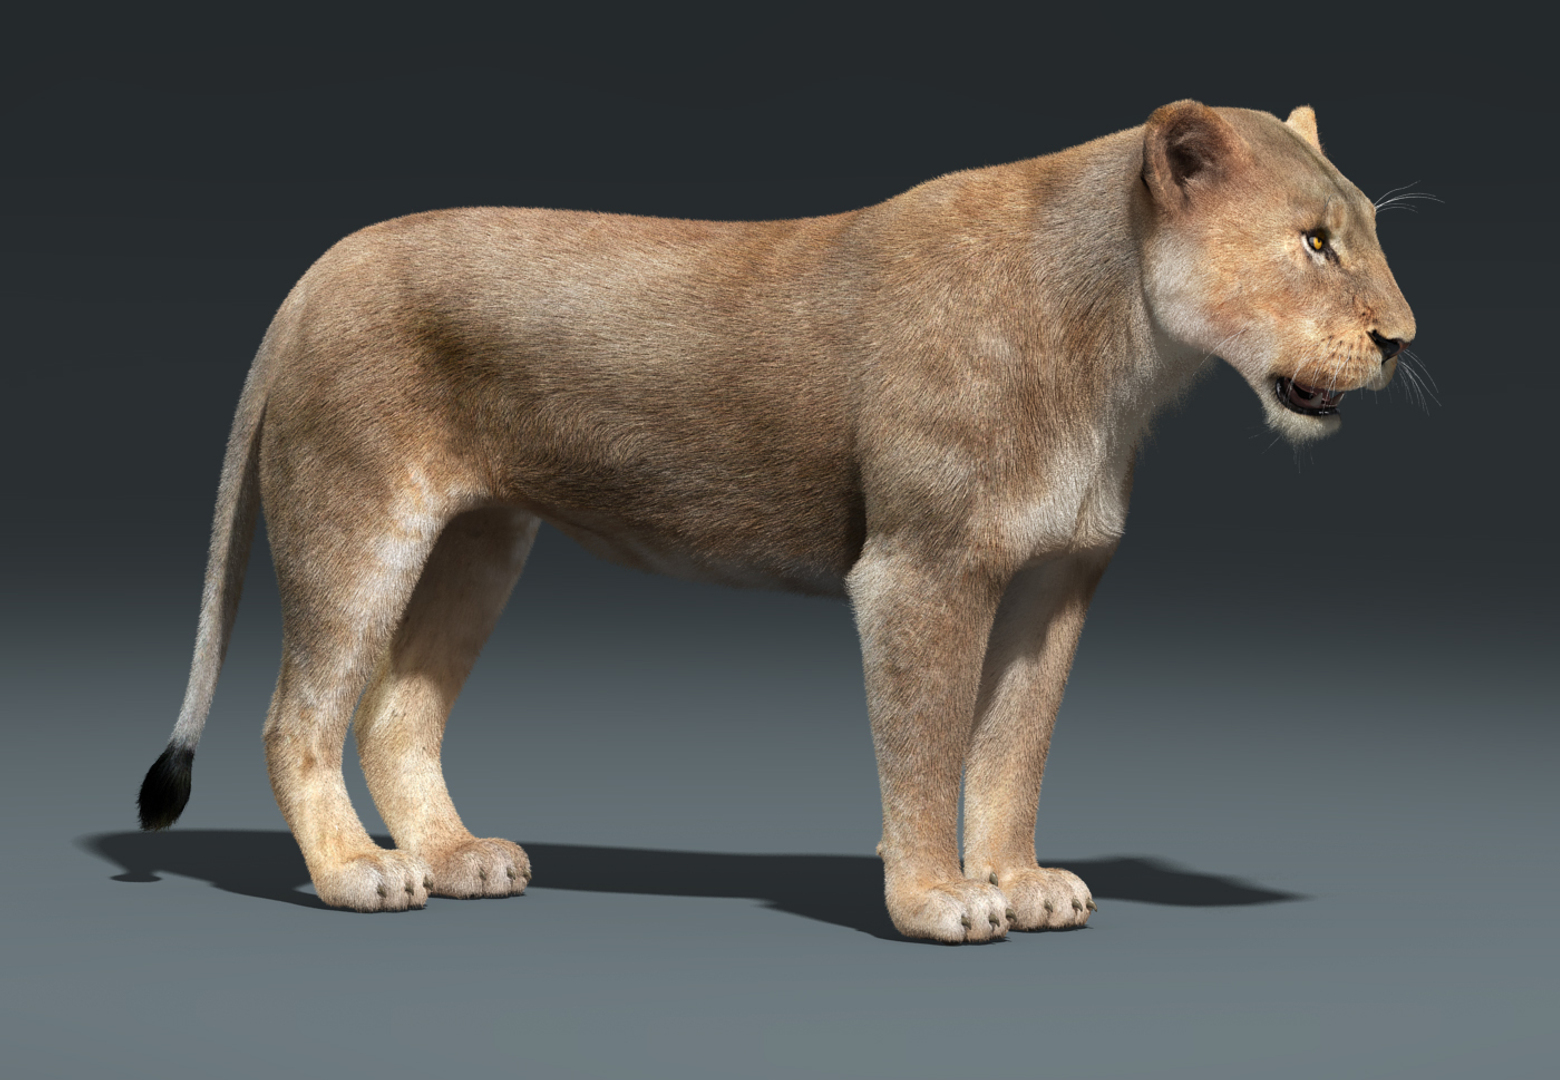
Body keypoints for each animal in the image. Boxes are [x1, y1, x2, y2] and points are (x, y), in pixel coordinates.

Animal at [137, 101, 1414, 942]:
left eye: (1365, 231)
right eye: (1314, 240)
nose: (1401, 340)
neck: (1126, 358)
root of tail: (318, 270)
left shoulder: (1058, 579)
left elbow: (1014, 748)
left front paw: (1023, 881)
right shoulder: (920, 569)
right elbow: (925, 744)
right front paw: (941, 898)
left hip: (479, 542)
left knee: (396, 712)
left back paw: (454, 859)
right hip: (359, 522)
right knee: (298, 717)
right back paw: (360, 874)